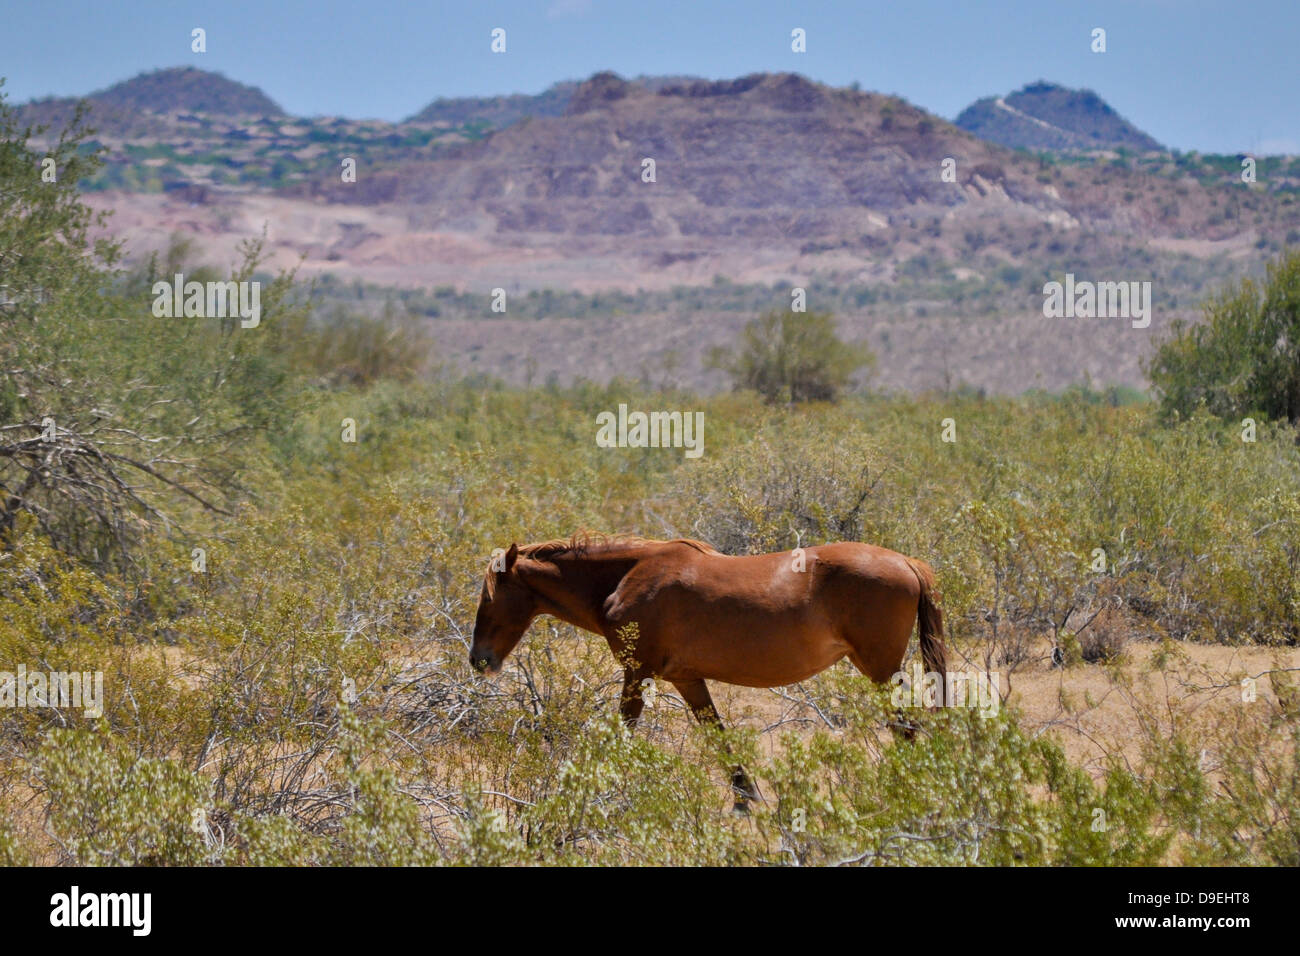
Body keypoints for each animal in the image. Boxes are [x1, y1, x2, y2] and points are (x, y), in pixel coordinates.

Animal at [469, 533, 947, 809]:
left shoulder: (637, 674)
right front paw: (745, 795)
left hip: (880, 670)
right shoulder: (686, 679)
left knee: (904, 728)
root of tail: (907, 563)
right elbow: (715, 732)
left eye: (490, 596)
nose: (479, 659)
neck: (626, 577)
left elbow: (623, 732)